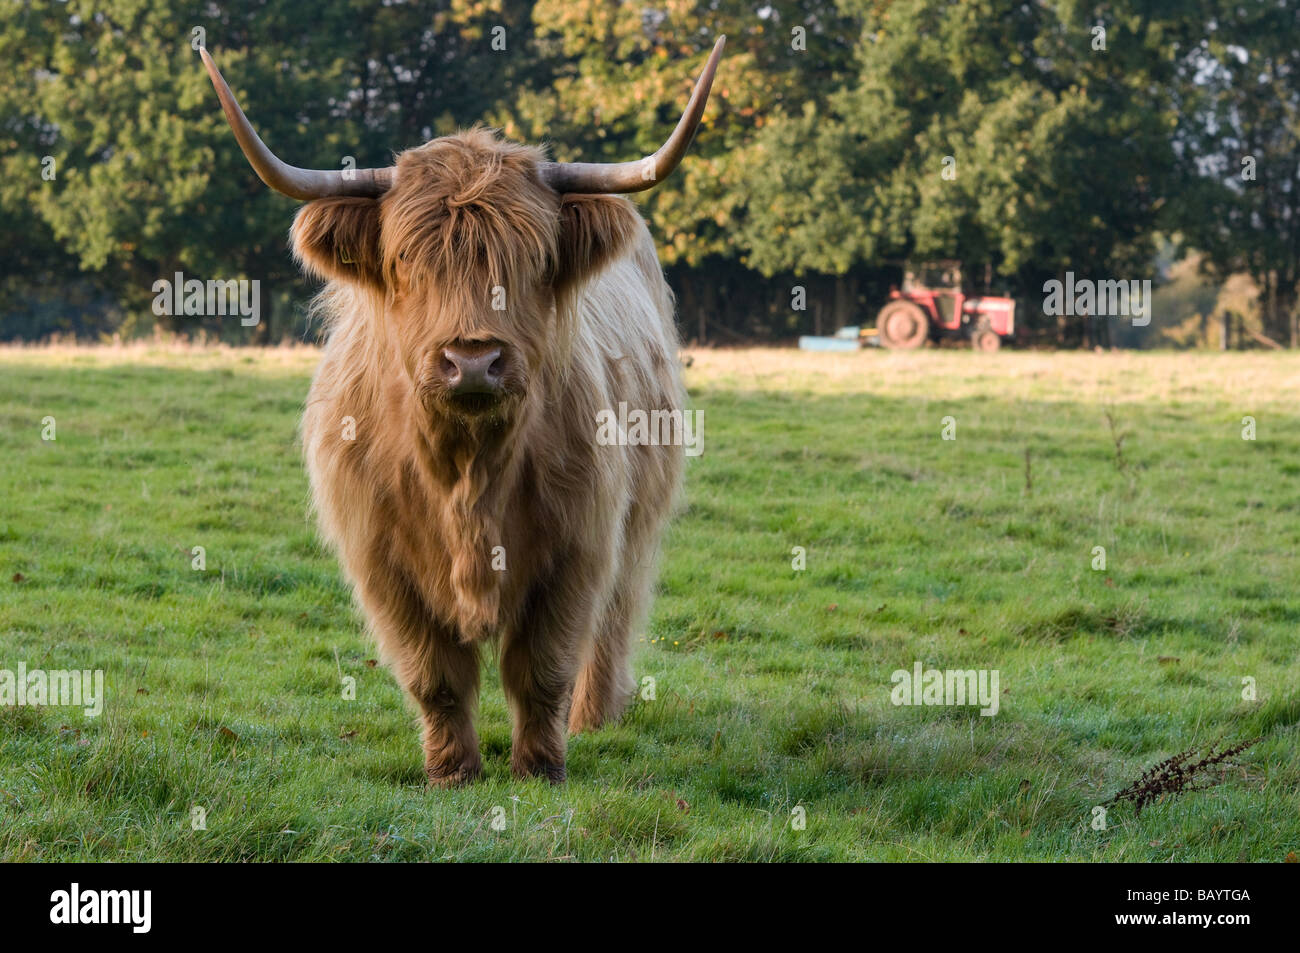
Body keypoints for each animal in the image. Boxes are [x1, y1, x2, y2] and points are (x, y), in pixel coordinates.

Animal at [200, 38, 724, 784]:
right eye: (405, 261)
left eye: (534, 257)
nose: (472, 360)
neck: (468, 469)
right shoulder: (380, 560)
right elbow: (435, 674)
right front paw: (452, 771)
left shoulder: (580, 544)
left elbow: (542, 667)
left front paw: (539, 769)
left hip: (637, 523)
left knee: (614, 622)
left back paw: (596, 717)